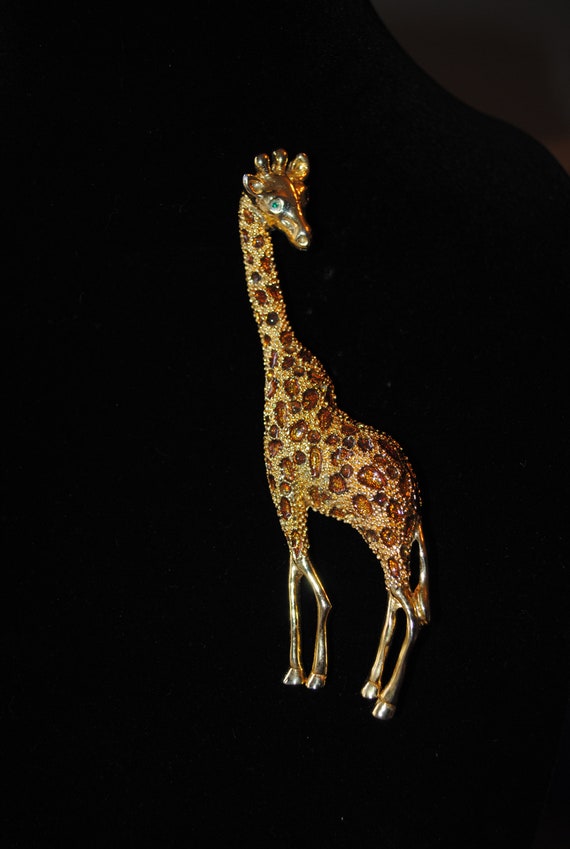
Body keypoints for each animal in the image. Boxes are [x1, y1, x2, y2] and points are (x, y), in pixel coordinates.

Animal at [239, 149, 429, 720]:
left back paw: (386, 701)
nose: (304, 239)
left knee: (413, 610)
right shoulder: (291, 500)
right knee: (399, 601)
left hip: (386, 535)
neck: (278, 365)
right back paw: (368, 685)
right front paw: (305, 671)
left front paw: (310, 672)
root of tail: (416, 498)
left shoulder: (284, 495)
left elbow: (308, 587)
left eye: (300, 197)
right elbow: (301, 582)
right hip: (389, 538)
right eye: (274, 201)